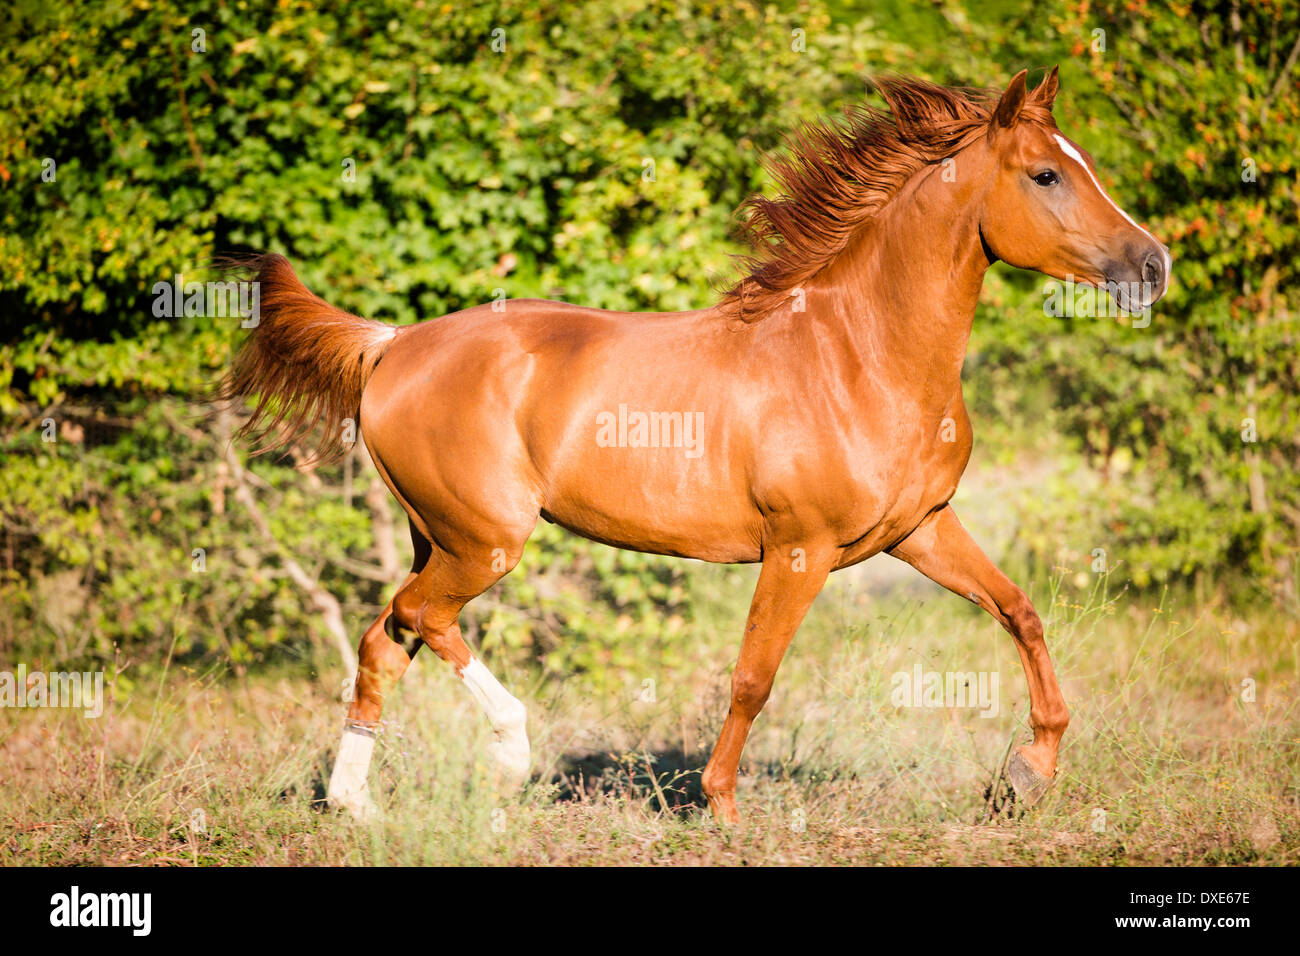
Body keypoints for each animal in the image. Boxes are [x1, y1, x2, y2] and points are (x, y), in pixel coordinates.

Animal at [220, 68, 1170, 824]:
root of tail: (391, 346)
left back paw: (356, 804)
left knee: (387, 637)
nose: (1152, 266)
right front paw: (719, 807)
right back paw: (510, 756)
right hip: (486, 540)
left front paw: (1025, 777)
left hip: (442, 537)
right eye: (1046, 173)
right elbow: (754, 676)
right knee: (419, 619)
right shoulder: (798, 549)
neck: (857, 355)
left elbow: (1021, 612)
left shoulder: (922, 528)